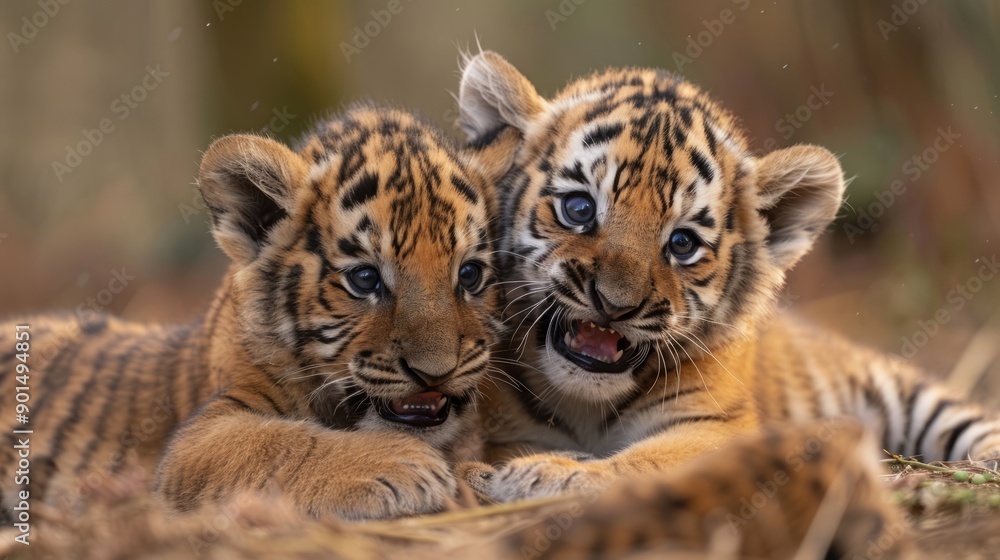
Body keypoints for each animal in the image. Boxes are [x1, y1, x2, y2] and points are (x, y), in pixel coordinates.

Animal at [0, 106, 517, 520]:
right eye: (365, 278)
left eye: (469, 274)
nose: (435, 373)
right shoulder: (192, 445)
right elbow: (276, 444)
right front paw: (401, 463)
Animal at [453, 51, 1000, 504]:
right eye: (579, 208)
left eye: (682, 243)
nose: (613, 304)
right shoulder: (504, 428)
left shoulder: (713, 426)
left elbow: (643, 462)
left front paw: (551, 473)